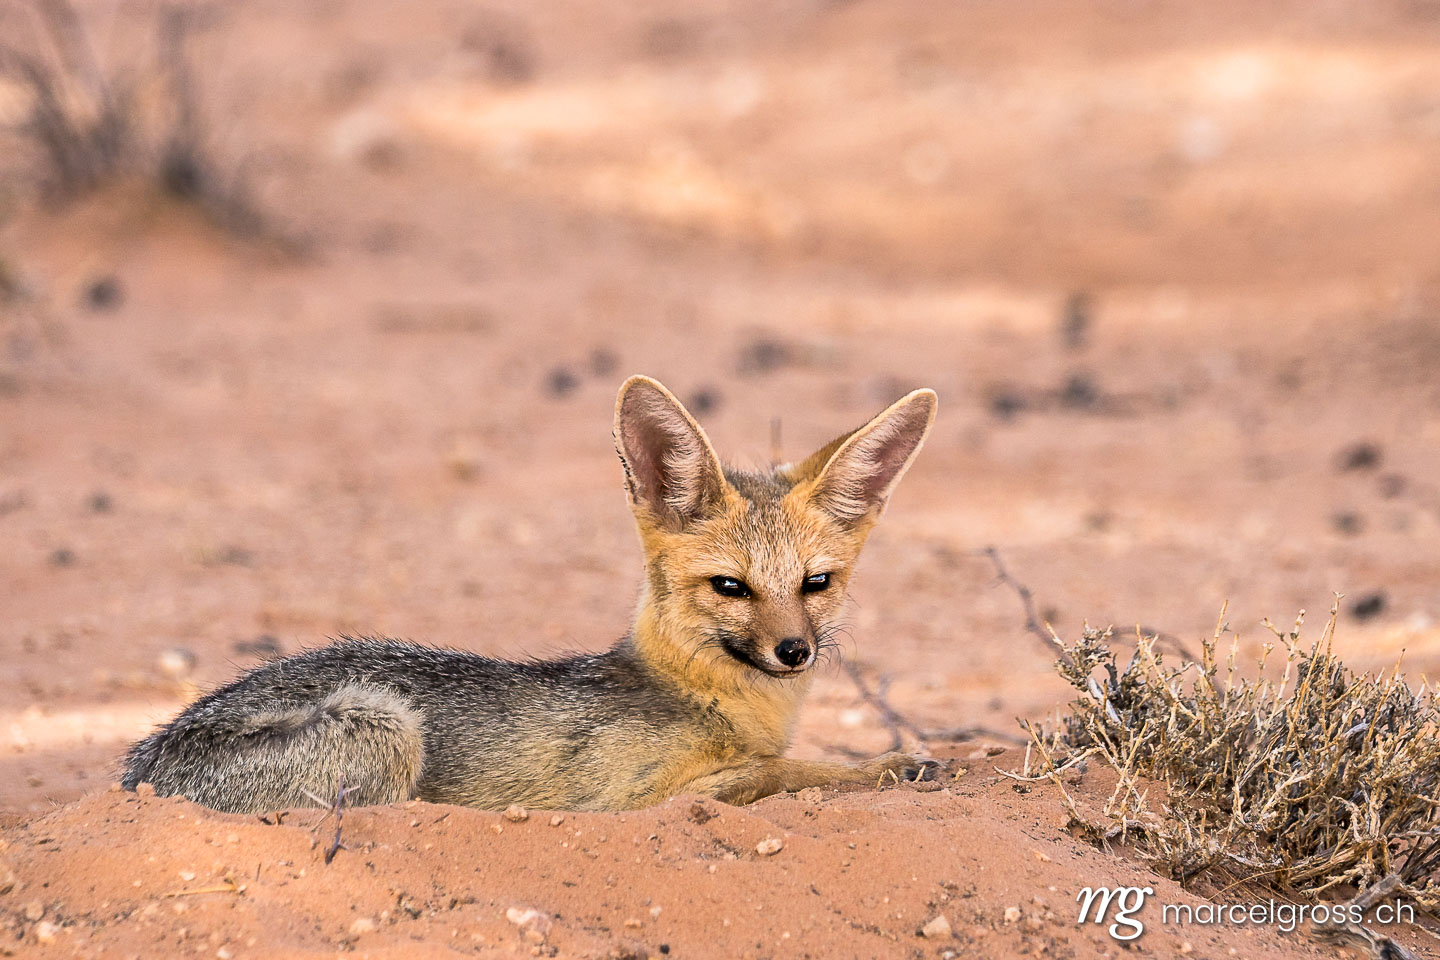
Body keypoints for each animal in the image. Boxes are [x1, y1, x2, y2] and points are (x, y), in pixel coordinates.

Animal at [121, 376, 940, 813]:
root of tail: (138, 768)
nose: (794, 651)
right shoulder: (637, 799)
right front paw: (891, 764)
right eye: (731, 586)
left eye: (815, 583)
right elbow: (781, 772)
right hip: (385, 725)